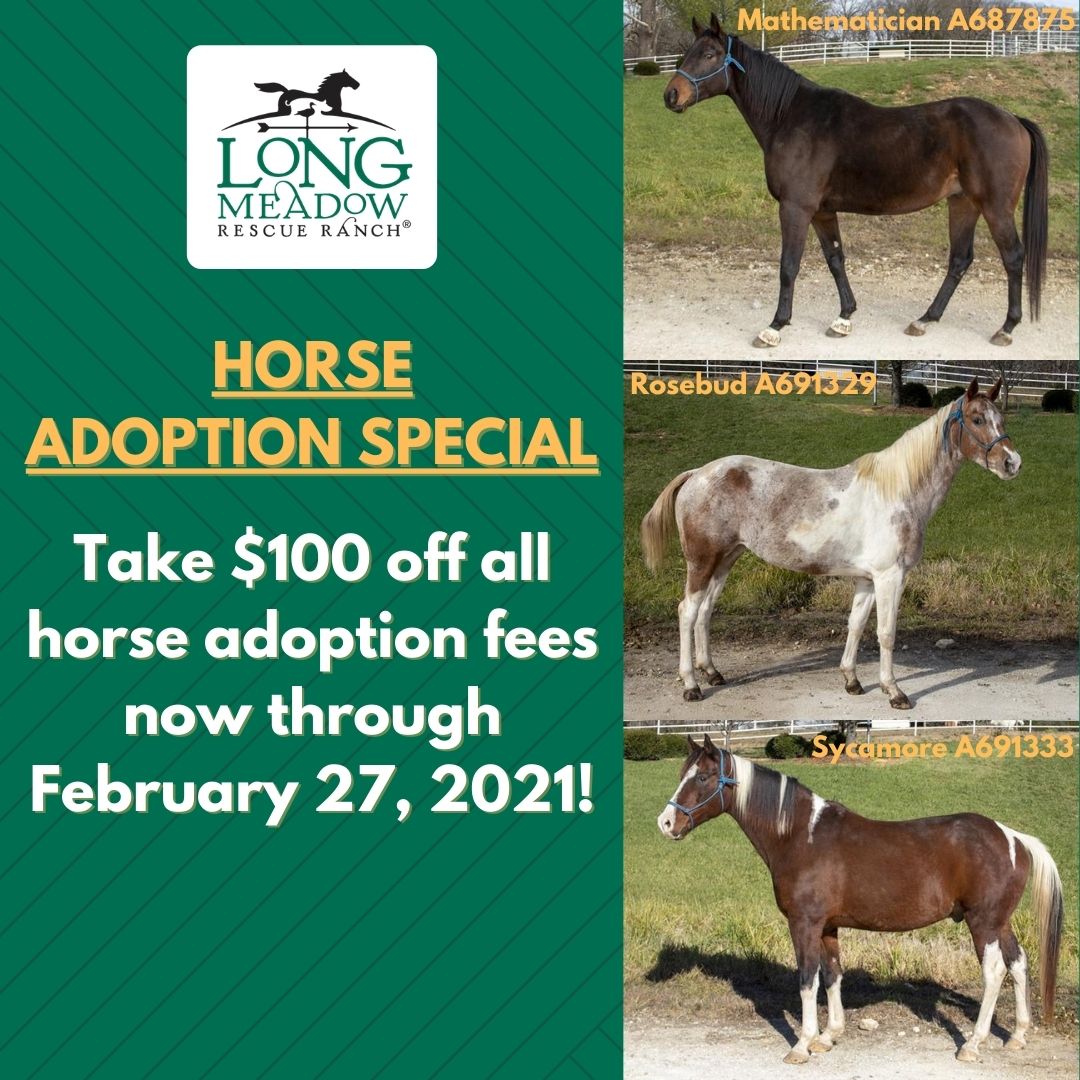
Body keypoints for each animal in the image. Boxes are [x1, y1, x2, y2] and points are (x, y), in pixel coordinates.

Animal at [640, 378, 1020, 709]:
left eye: (1000, 418)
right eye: (977, 419)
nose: (1012, 462)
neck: (897, 491)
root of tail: (697, 474)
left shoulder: (867, 580)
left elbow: (856, 625)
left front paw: (852, 680)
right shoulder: (890, 576)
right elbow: (886, 633)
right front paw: (894, 692)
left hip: (725, 560)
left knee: (704, 612)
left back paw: (712, 672)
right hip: (702, 562)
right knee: (687, 612)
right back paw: (691, 685)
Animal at [657, 734, 1064, 1064]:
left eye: (702, 777)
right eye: (681, 773)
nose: (665, 823)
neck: (801, 836)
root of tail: (1012, 836)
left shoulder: (804, 923)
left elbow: (807, 979)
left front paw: (802, 1044)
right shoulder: (827, 927)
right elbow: (832, 974)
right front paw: (828, 1036)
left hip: (983, 923)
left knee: (994, 972)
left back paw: (973, 1044)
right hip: (1000, 922)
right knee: (1019, 963)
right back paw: (1018, 1035)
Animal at [663, 14, 1048, 348]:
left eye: (709, 54)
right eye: (689, 51)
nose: (671, 95)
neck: (792, 117)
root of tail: (1013, 119)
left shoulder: (795, 208)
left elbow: (789, 266)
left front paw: (776, 326)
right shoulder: (821, 212)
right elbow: (835, 259)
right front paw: (844, 316)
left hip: (996, 208)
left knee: (1013, 257)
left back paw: (1007, 327)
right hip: (963, 203)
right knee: (959, 259)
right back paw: (925, 319)